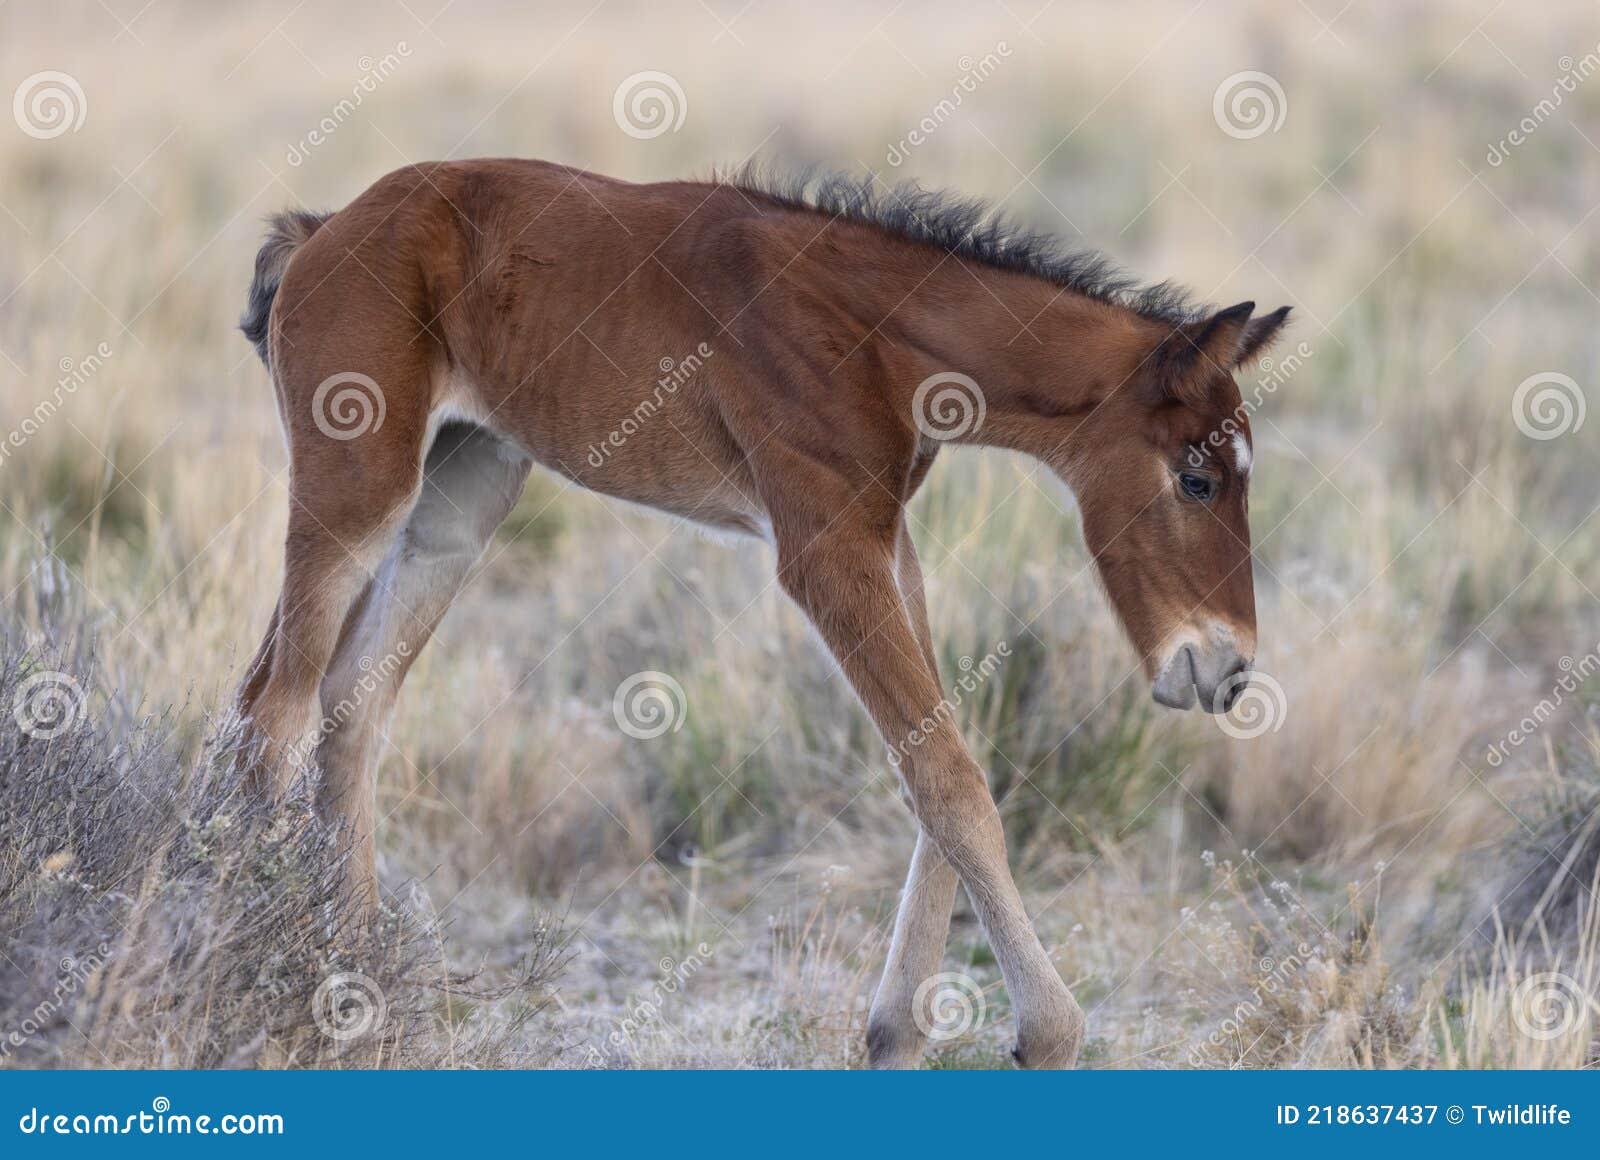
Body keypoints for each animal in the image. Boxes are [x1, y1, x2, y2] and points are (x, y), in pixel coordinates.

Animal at [236, 158, 1290, 1069]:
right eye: (1196, 478)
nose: (1227, 669)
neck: (876, 333)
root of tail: (323, 231)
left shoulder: (886, 539)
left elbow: (937, 764)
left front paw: (894, 1036)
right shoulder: (825, 547)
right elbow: (948, 778)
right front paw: (1050, 1034)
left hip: (459, 501)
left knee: (347, 708)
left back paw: (363, 996)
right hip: (356, 490)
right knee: (274, 715)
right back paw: (268, 977)